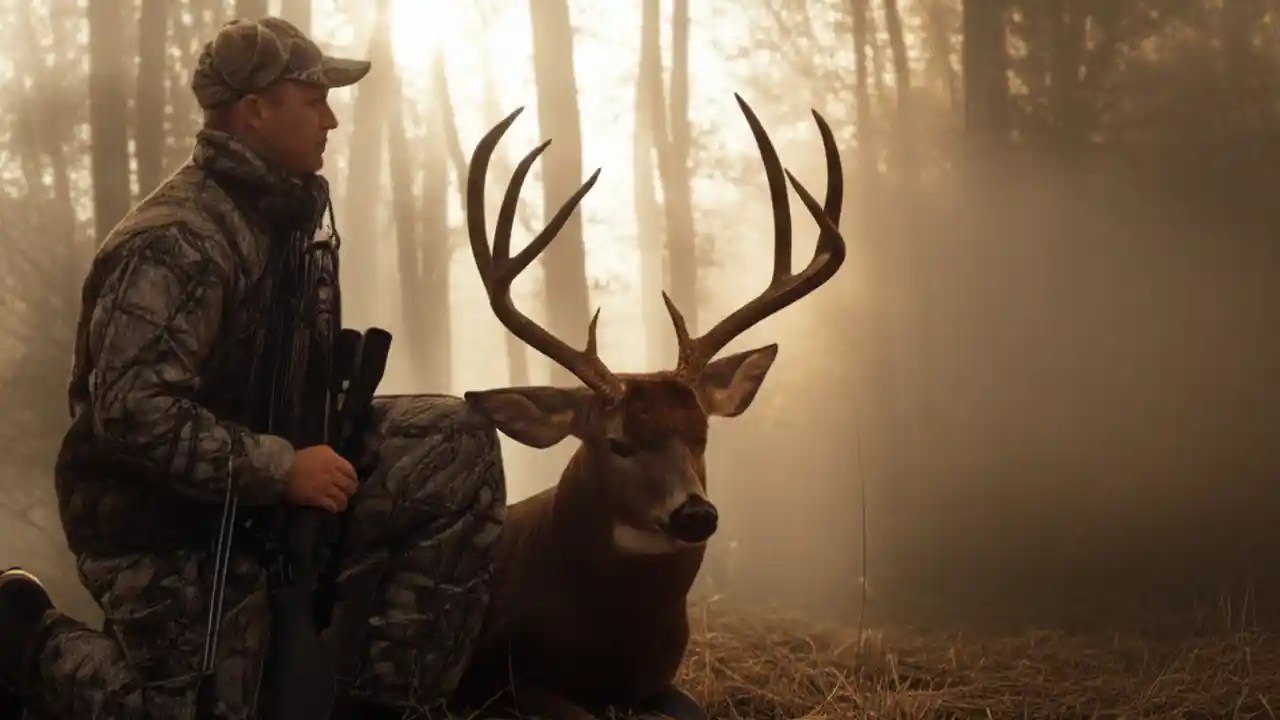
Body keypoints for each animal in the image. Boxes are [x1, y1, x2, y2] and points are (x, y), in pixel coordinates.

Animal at [452, 94, 846, 720]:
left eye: (702, 435)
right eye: (617, 441)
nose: (695, 513)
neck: (618, 649)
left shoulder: (659, 681)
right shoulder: (500, 676)